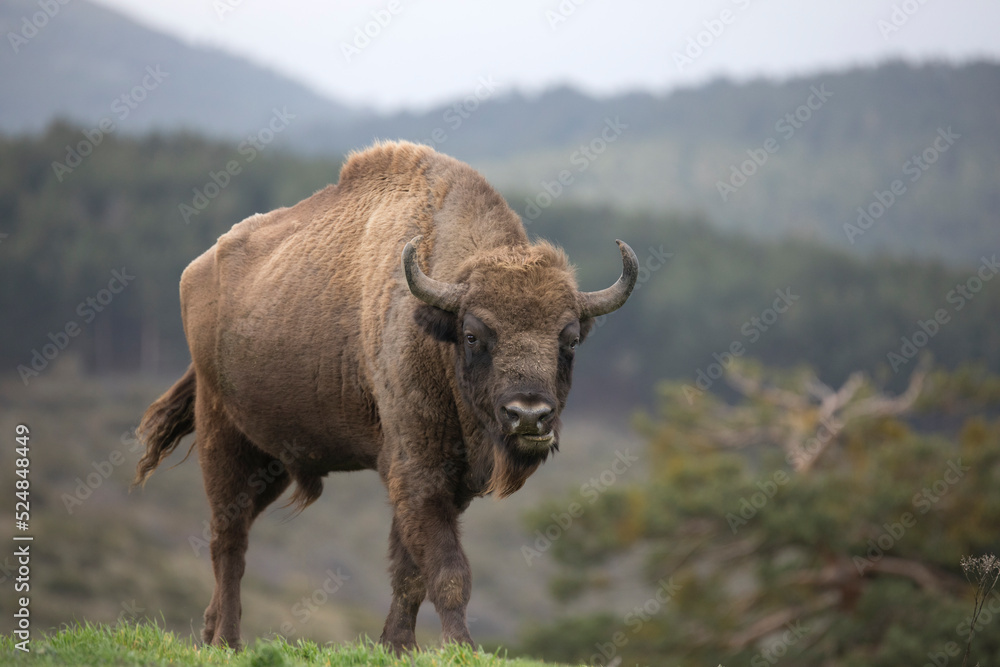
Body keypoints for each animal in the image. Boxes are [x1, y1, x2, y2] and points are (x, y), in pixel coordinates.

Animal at [133, 140, 637, 651]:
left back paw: (210, 631)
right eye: (473, 334)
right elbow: (448, 571)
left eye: (569, 339)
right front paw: (460, 646)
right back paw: (228, 641)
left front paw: (397, 646)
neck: (434, 324)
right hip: (223, 436)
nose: (529, 415)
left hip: (272, 462)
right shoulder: (418, 473)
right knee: (228, 541)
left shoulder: (444, 484)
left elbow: (409, 573)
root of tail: (194, 272)